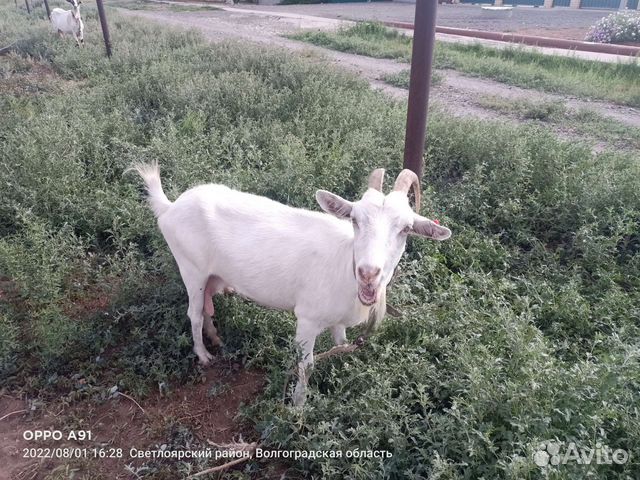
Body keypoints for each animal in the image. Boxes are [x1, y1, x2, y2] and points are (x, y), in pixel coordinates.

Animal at [133, 164, 452, 405]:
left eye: (406, 228)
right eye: (355, 220)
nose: (368, 273)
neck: (344, 264)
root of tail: (170, 207)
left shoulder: (339, 320)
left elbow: (341, 344)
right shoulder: (307, 318)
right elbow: (305, 364)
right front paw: (298, 407)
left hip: (212, 275)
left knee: (207, 306)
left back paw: (216, 339)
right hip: (192, 269)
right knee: (194, 313)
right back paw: (204, 355)